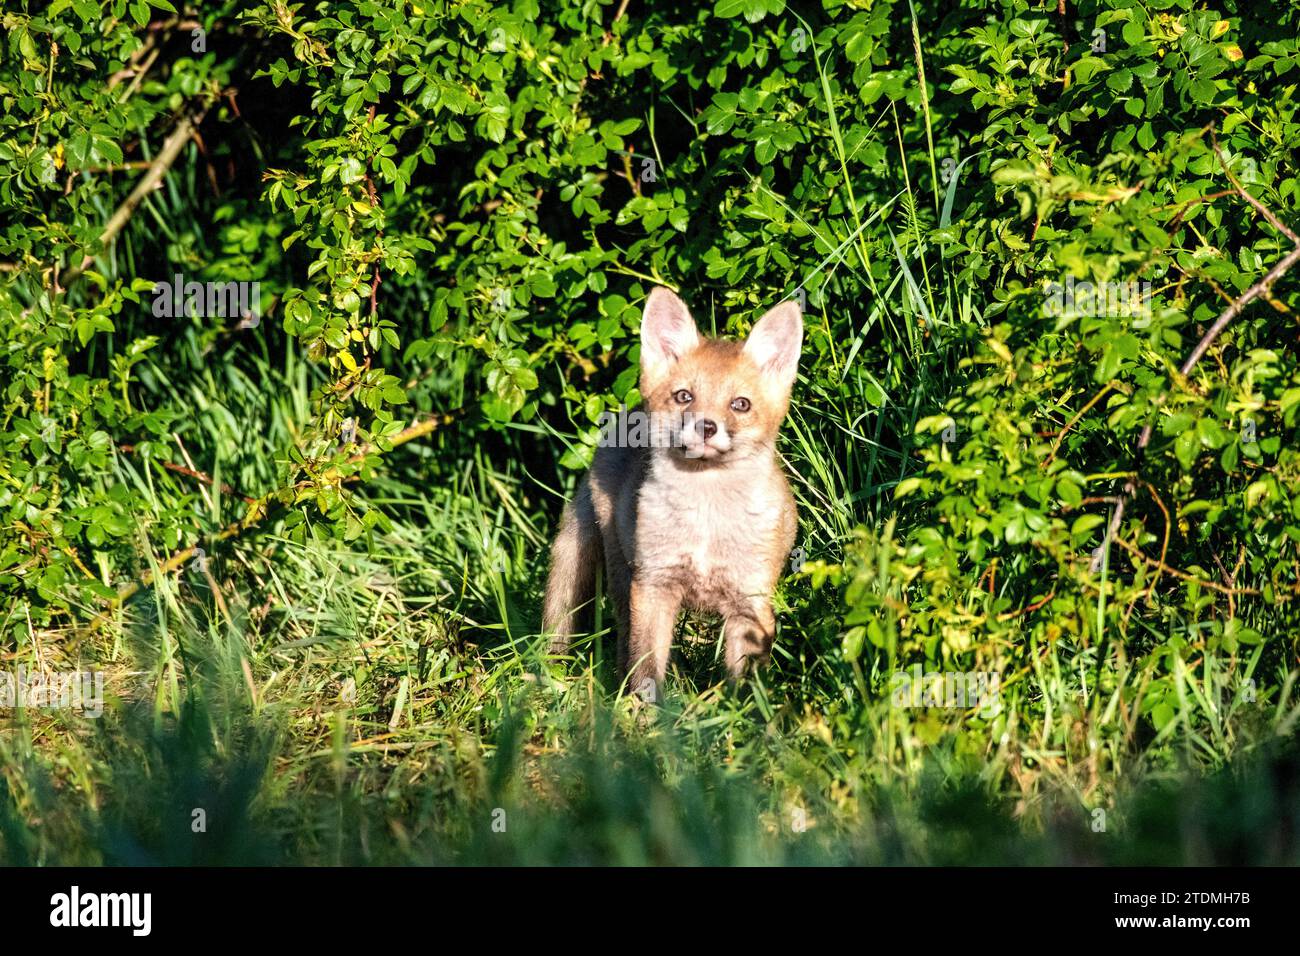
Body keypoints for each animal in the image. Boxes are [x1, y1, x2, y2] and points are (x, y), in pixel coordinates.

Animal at [542, 286, 803, 698]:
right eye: (684, 397)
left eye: (740, 404)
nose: (707, 427)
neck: (707, 524)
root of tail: (625, 418)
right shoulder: (653, 585)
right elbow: (646, 667)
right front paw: (645, 711)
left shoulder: (750, 601)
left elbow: (747, 685)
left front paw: (747, 713)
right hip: (622, 574)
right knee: (624, 644)